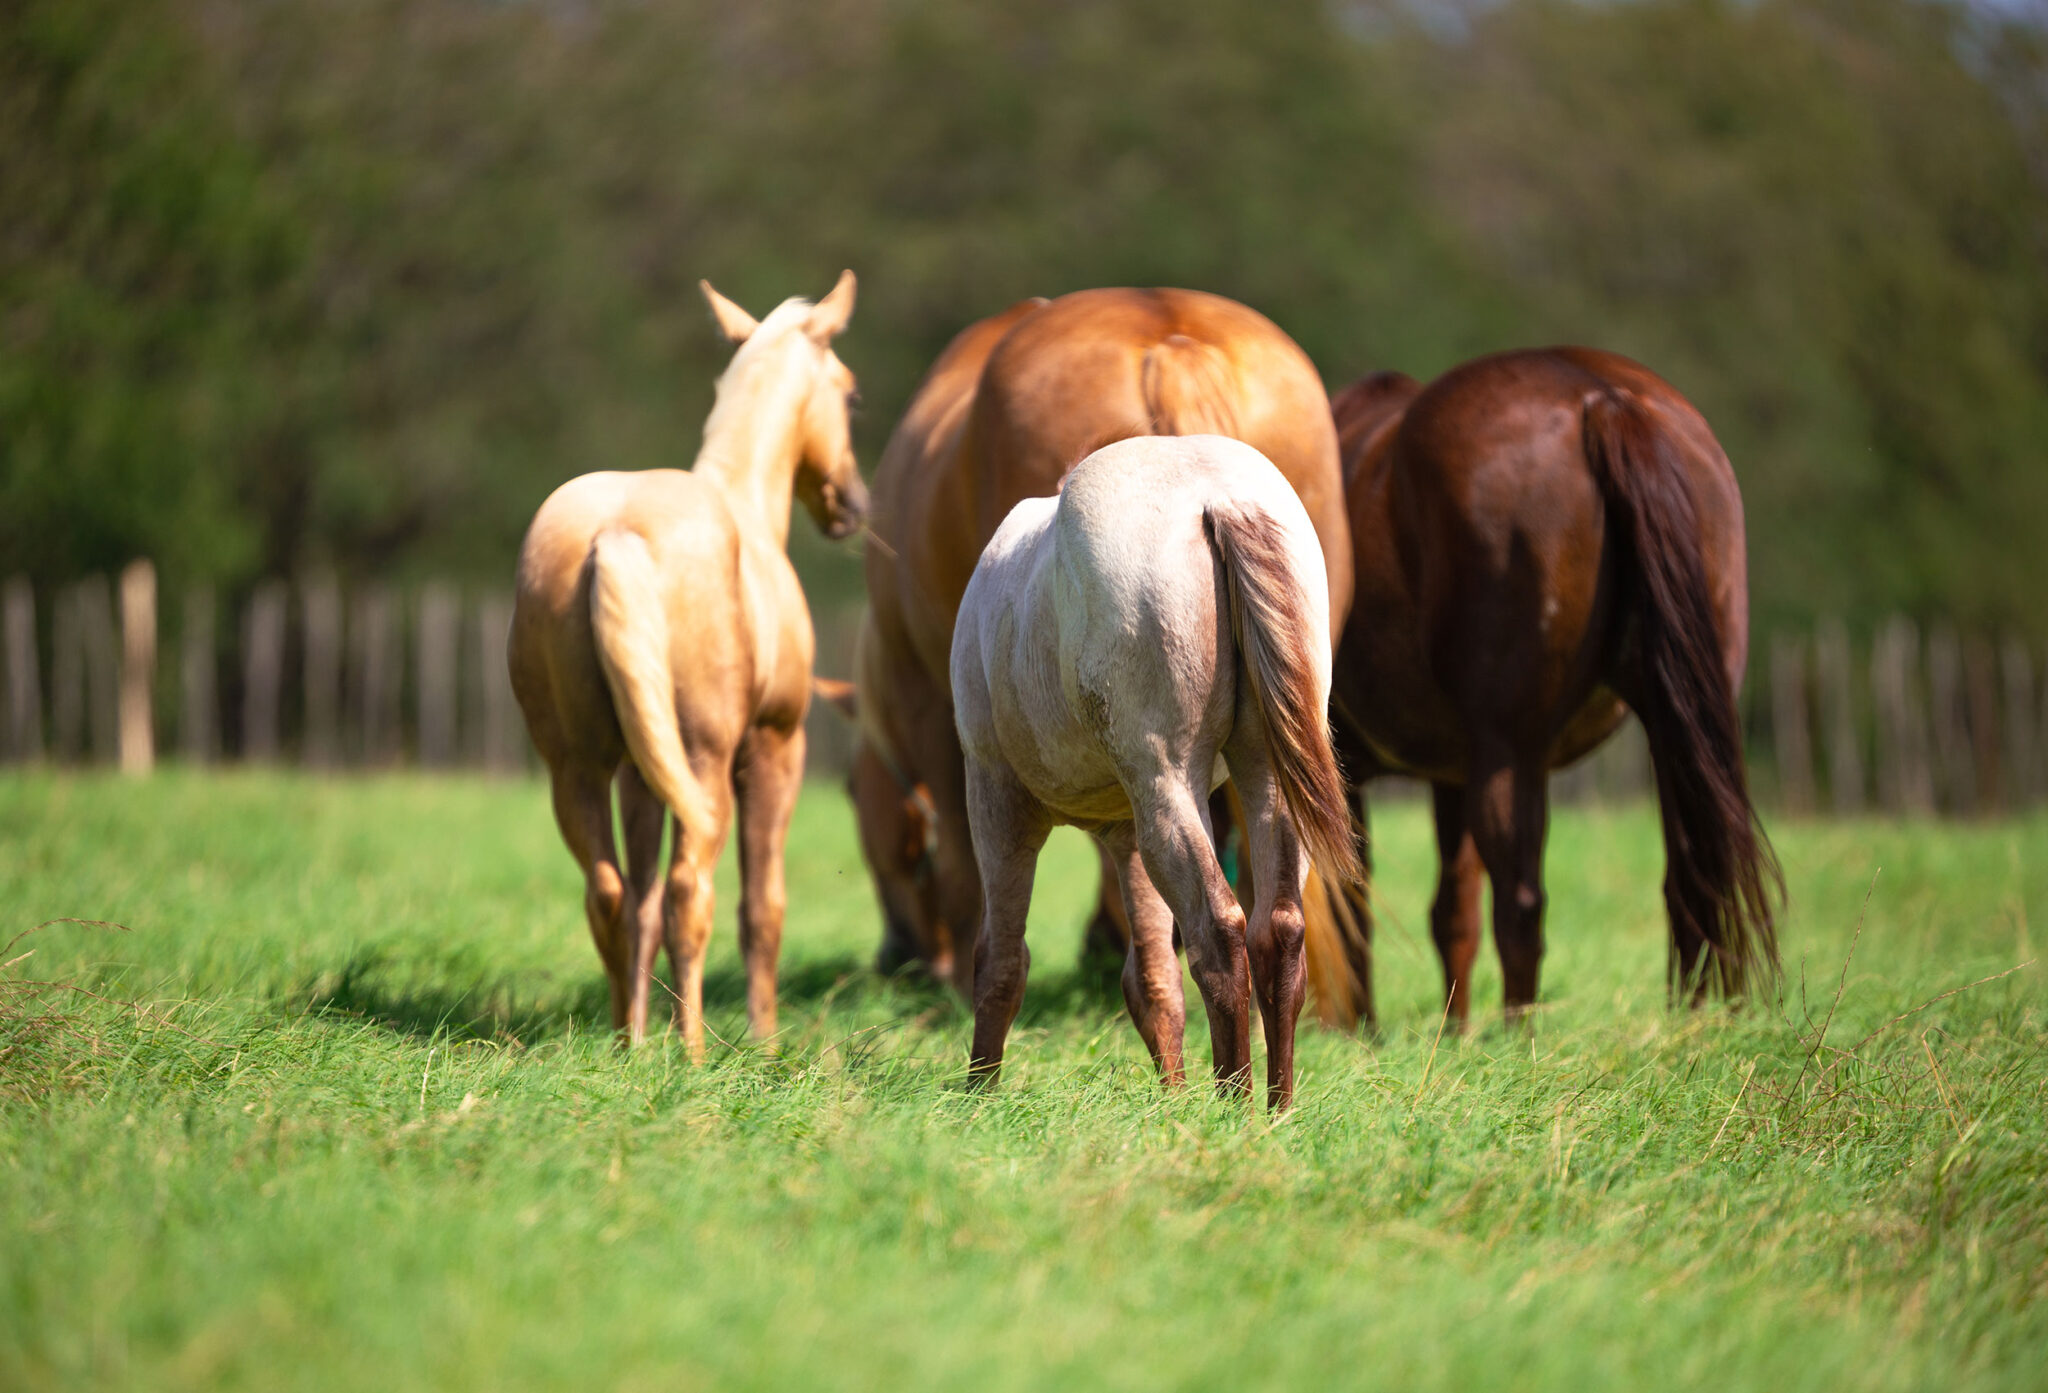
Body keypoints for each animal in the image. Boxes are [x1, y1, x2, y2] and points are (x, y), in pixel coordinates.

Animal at [508, 271, 865, 1052]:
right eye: (851, 394)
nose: (852, 503)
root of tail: (614, 534)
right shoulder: (773, 749)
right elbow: (762, 908)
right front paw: (764, 1043)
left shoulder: (641, 774)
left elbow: (641, 901)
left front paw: (642, 1036)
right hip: (704, 761)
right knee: (688, 894)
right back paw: (695, 1054)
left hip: (578, 768)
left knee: (612, 893)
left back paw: (627, 1043)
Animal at [951, 435, 1359, 1109]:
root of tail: (1221, 496)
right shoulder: (1126, 834)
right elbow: (1153, 979)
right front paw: (1171, 1097)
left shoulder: (996, 799)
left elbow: (1001, 963)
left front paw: (976, 1097)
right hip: (1258, 779)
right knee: (1275, 930)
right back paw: (1276, 1109)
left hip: (1163, 781)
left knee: (1218, 931)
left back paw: (1234, 1105)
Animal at [1310, 347, 1781, 1032]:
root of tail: (1605, 400)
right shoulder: (1454, 772)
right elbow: (1451, 909)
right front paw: (1449, 1033)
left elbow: (1352, 901)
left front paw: (1364, 1034)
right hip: (1673, 733)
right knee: (1691, 880)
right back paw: (1687, 1026)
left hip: (1513, 754)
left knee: (1521, 903)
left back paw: (1517, 1036)